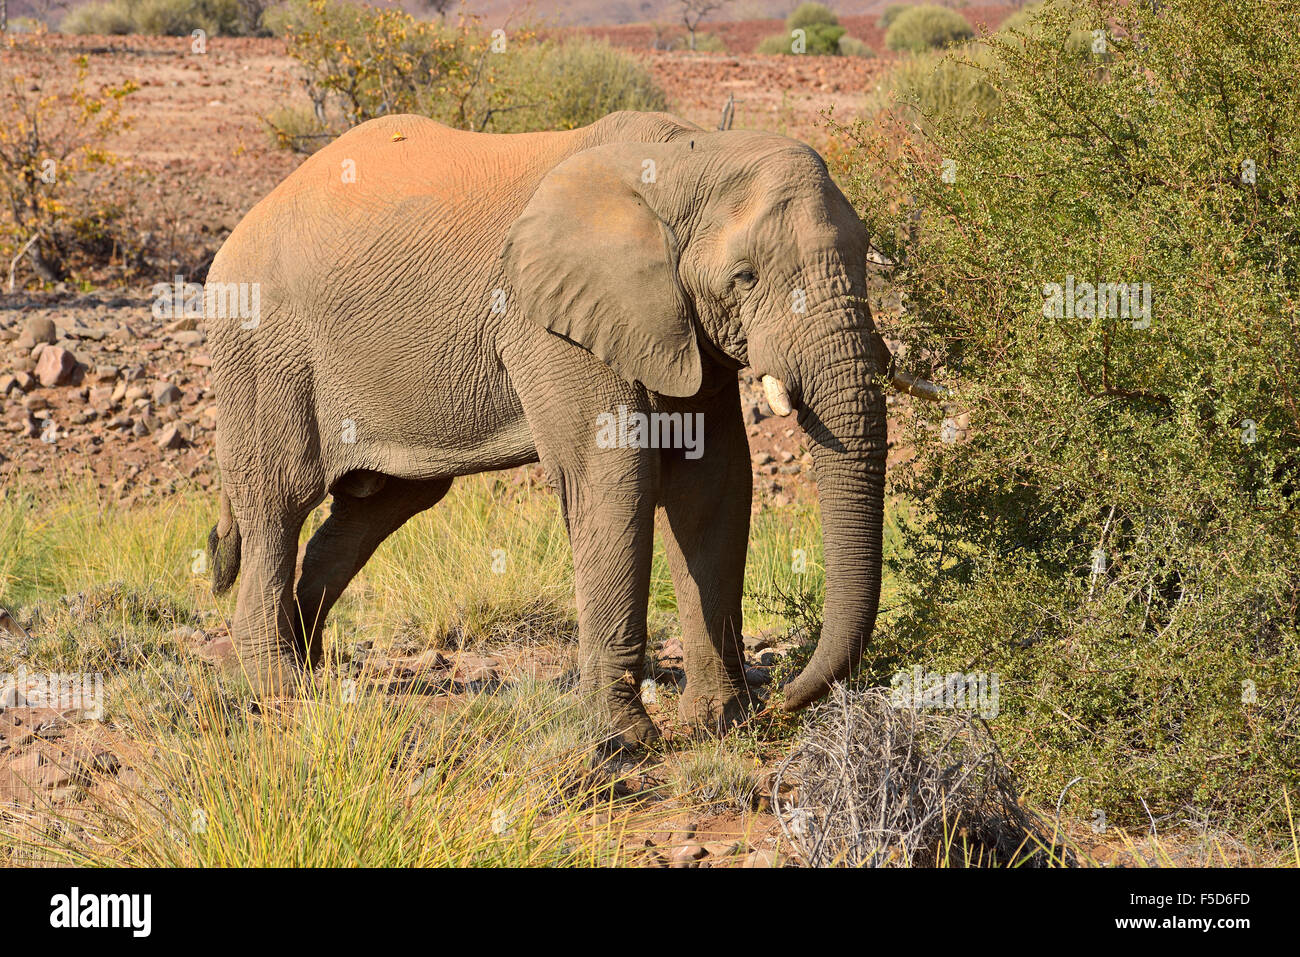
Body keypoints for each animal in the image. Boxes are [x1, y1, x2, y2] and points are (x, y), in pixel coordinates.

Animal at [204, 109, 916, 746]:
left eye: (867, 260)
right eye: (745, 277)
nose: (784, 703)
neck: (684, 158)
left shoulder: (681, 327)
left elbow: (714, 484)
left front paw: (722, 725)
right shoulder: (553, 322)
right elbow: (614, 478)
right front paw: (628, 740)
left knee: (377, 506)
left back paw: (309, 664)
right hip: (264, 351)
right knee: (278, 502)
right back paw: (280, 687)